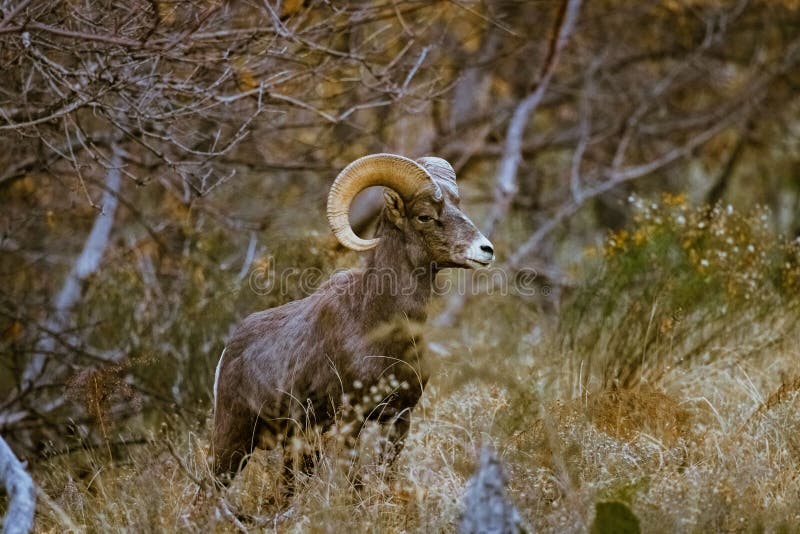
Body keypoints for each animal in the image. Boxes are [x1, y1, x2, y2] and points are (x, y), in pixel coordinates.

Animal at [212, 153, 495, 489]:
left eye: (457, 205)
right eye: (424, 216)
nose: (486, 250)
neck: (380, 328)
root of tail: (229, 352)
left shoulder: (399, 419)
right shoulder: (351, 421)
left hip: (295, 447)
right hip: (233, 442)